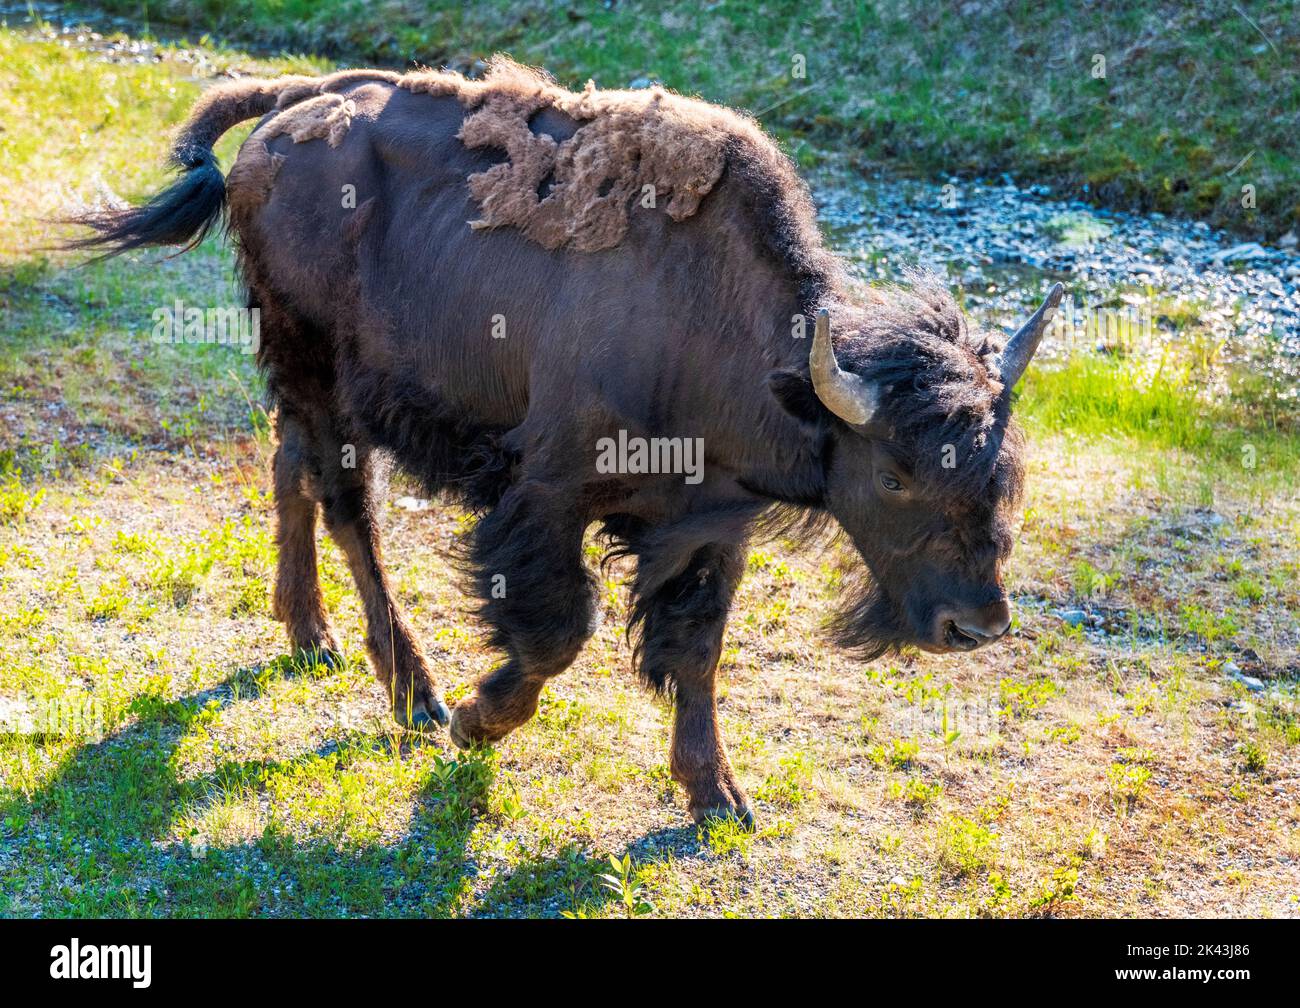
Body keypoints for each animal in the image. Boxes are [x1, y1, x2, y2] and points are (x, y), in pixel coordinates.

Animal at [72, 57, 1061, 828]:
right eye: (893, 476)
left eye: (1003, 472)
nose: (976, 625)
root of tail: (295, 105)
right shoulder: (546, 497)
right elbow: (560, 632)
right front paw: (476, 722)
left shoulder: (713, 529)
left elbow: (696, 650)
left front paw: (719, 799)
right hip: (320, 372)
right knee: (350, 507)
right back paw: (417, 695)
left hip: (303, 384)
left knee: (293, 473)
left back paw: (311, 637)